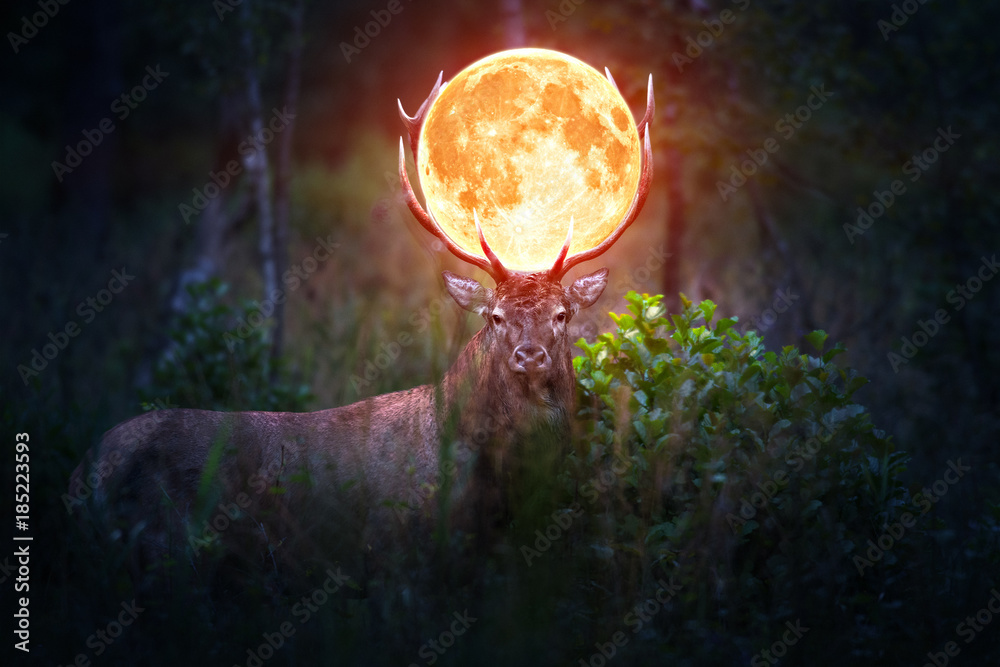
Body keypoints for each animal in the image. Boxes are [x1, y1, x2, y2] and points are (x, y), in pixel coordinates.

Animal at [69, 68, 654, 585]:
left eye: (562, 314)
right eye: (495, 315)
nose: (530, 355)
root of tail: (86, 472)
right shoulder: (399, 544)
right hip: (159, 545)